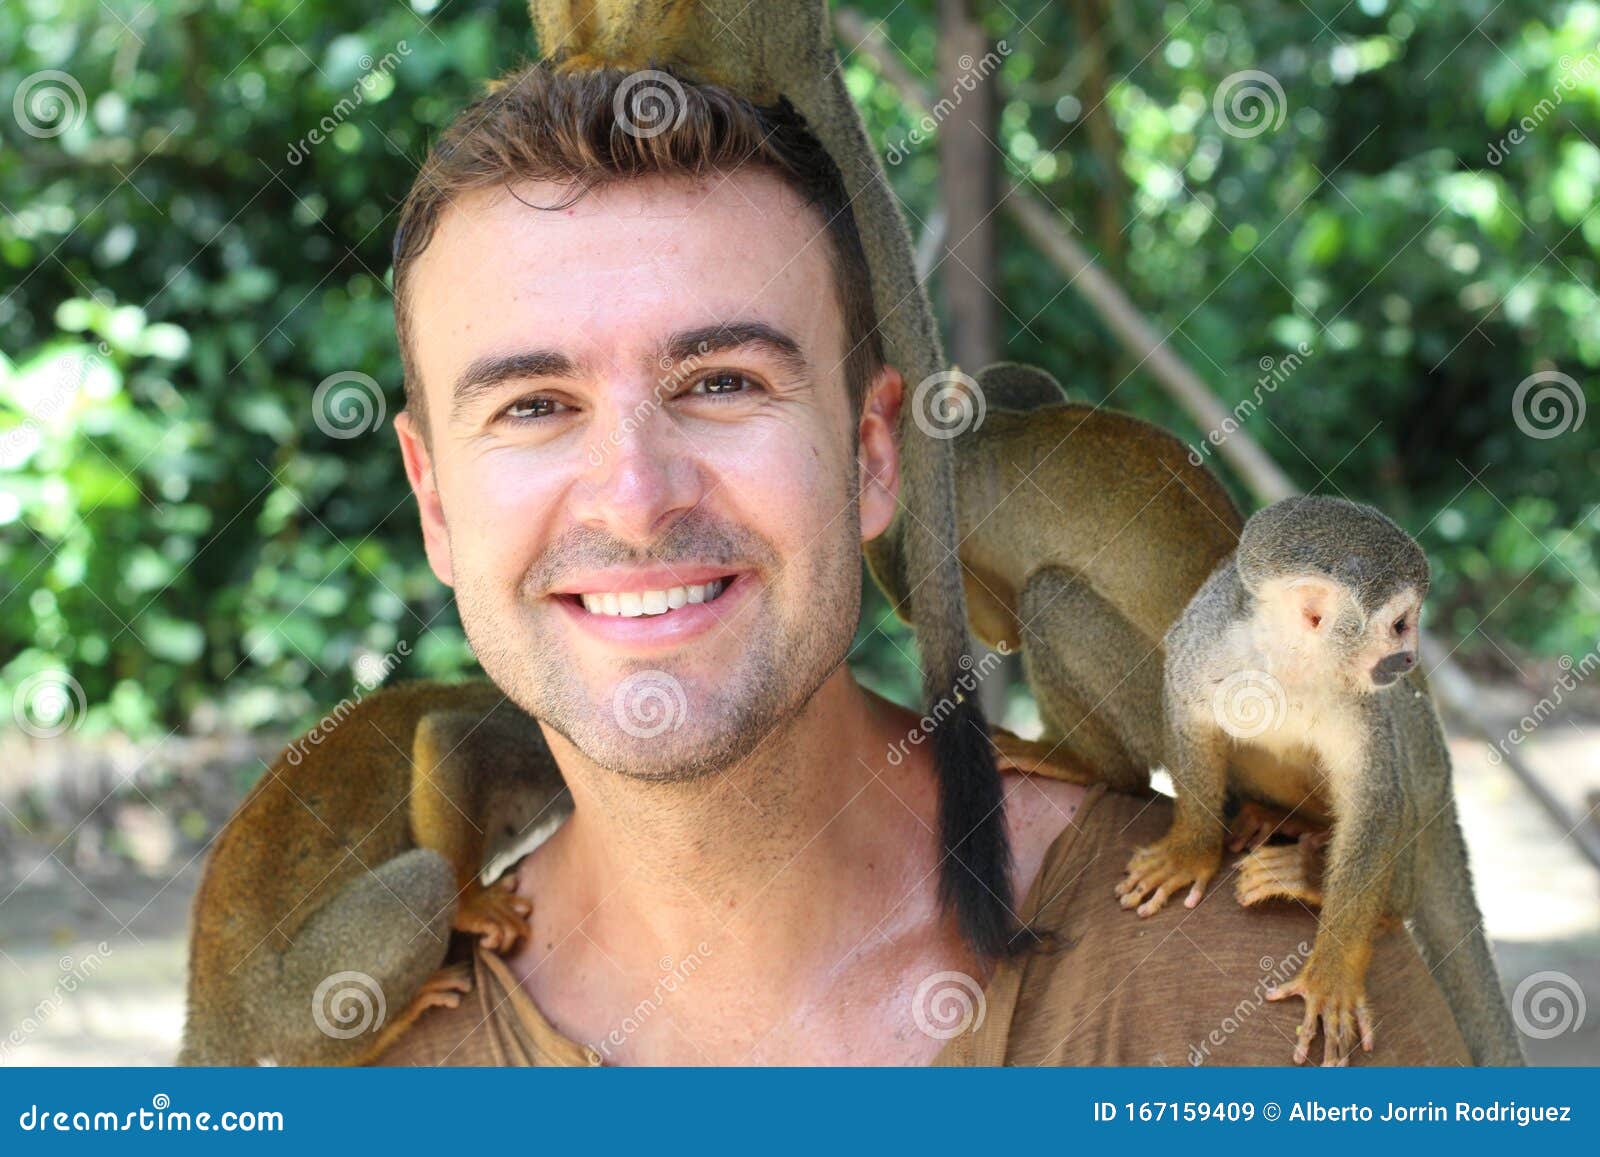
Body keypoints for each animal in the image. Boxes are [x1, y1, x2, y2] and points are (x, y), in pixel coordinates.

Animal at [179, 681, 569, 1066]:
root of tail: (211, 1006)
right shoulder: (533, 739)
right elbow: (450, 739)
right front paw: (472, 904)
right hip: (291, 999)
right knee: (429, 876)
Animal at [1116, 496, 1524, 1066]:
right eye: (1401, 624)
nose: (1412, 657)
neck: (1288, 662)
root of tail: (1445, 785)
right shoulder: (1204, 642)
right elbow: (1185, 712)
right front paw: (1190, 851)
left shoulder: (1361, 697)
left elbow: (1376, 799)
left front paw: (1332, 975)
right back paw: (1276, 819)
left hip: (1424, 773)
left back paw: (1321, 880)